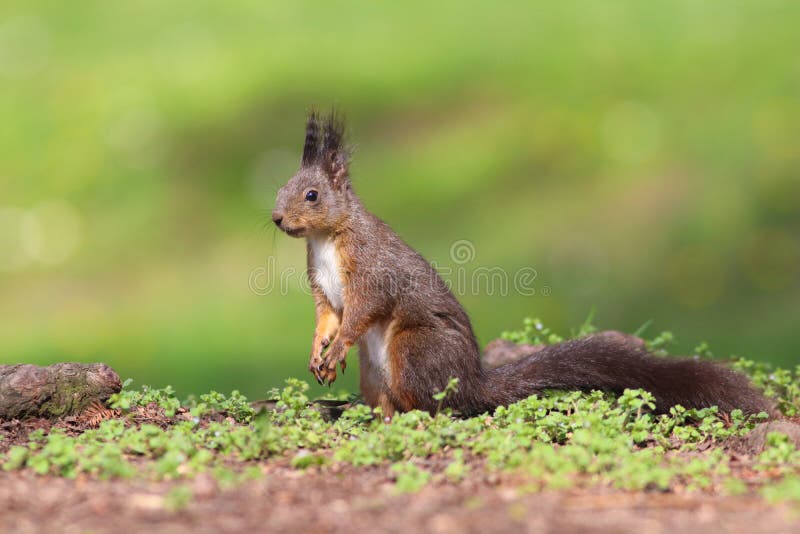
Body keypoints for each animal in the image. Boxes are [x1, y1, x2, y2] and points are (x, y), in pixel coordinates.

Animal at [271, 110, 773, 421]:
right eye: (280, 188)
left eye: (312, 195)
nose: (276, 218)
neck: (326, 239)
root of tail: (471, 383)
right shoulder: (322, 286)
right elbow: (327, 316)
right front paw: (318, 350)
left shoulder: (369, 269)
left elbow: (360, 312)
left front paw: (335, 348)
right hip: (375, 373)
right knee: (389, 404)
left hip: (413, 349)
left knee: (435, 407)